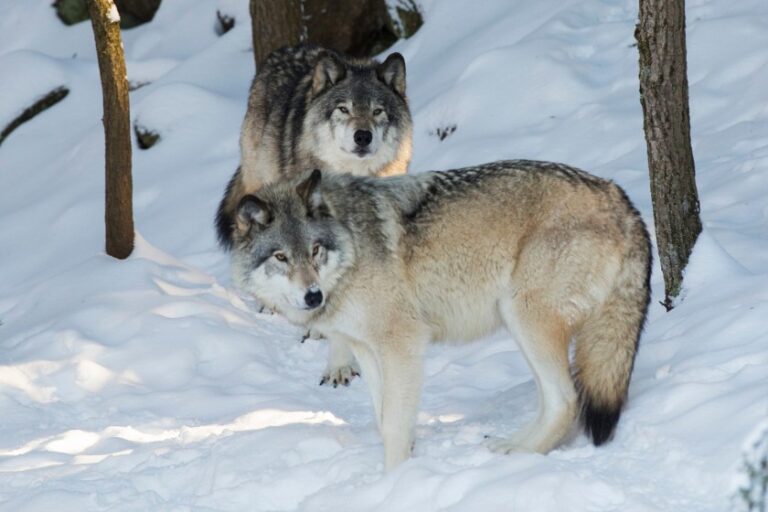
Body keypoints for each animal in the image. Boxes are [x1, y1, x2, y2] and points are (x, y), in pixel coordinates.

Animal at [229, 160, 651, 471]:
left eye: (315, 250)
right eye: (281, 257)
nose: (313, 296)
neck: (351, 246)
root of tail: (620, 197)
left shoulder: (403, 345)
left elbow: (394, 424)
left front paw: (395, 482)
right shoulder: (367, 350)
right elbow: (384, 418)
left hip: (524, 316)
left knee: (565, 401)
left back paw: (519, 457)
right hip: (521, 324)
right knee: (553, 401)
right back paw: (509, 448)